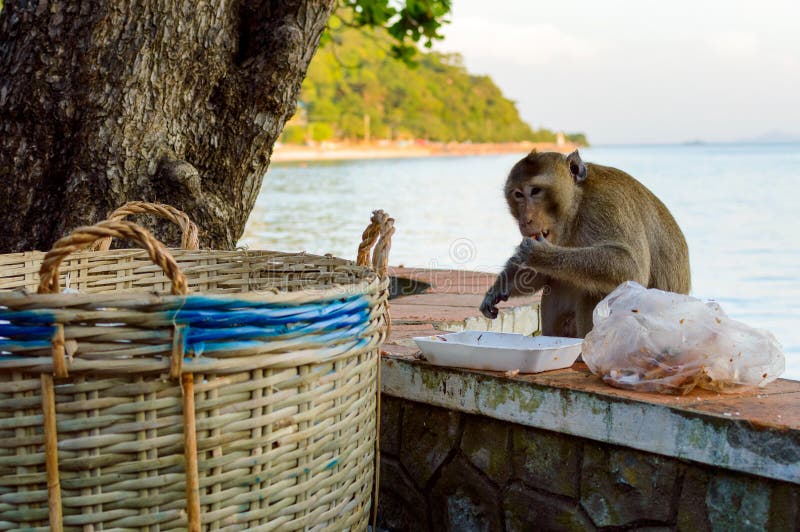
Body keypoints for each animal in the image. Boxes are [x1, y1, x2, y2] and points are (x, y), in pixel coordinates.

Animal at [480, 149, 690, 338]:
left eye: (535, 191)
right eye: (518, 194)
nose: (525, 220)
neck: (577, 206)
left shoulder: (607, 204)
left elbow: (632, 267)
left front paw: (538, 254)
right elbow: (541, 276)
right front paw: (501, 285)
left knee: (594, 289)